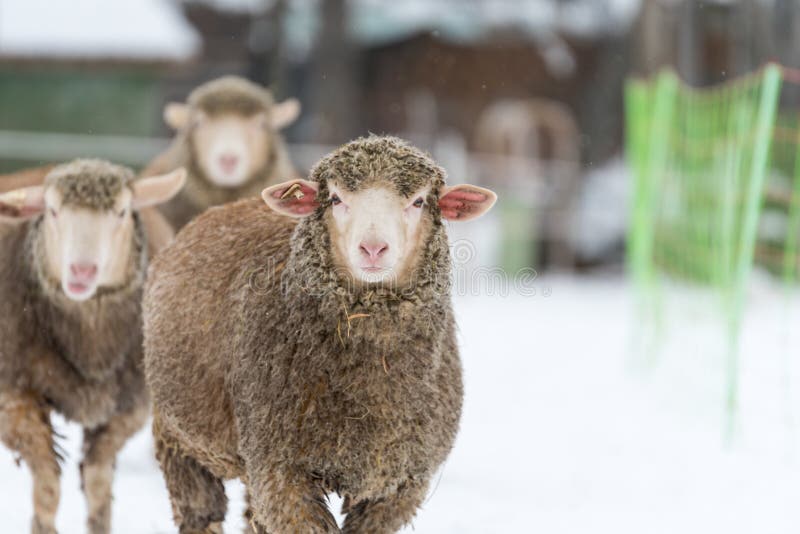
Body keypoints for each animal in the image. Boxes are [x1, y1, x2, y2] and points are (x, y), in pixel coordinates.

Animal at [0, 159, 186, 534]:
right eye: (52, 211)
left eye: (121, 212)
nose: (81, 270)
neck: (91, 346)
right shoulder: (13, 399)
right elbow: (48, 485)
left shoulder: (130, 406)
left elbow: (98, 481)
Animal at [143, 136, 497, 533]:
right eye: (337, 199)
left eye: (419, 201)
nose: (373, 249)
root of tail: (228, 206)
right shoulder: (282, 472)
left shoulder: (399, 485)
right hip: (179, 438)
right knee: (200, 511)